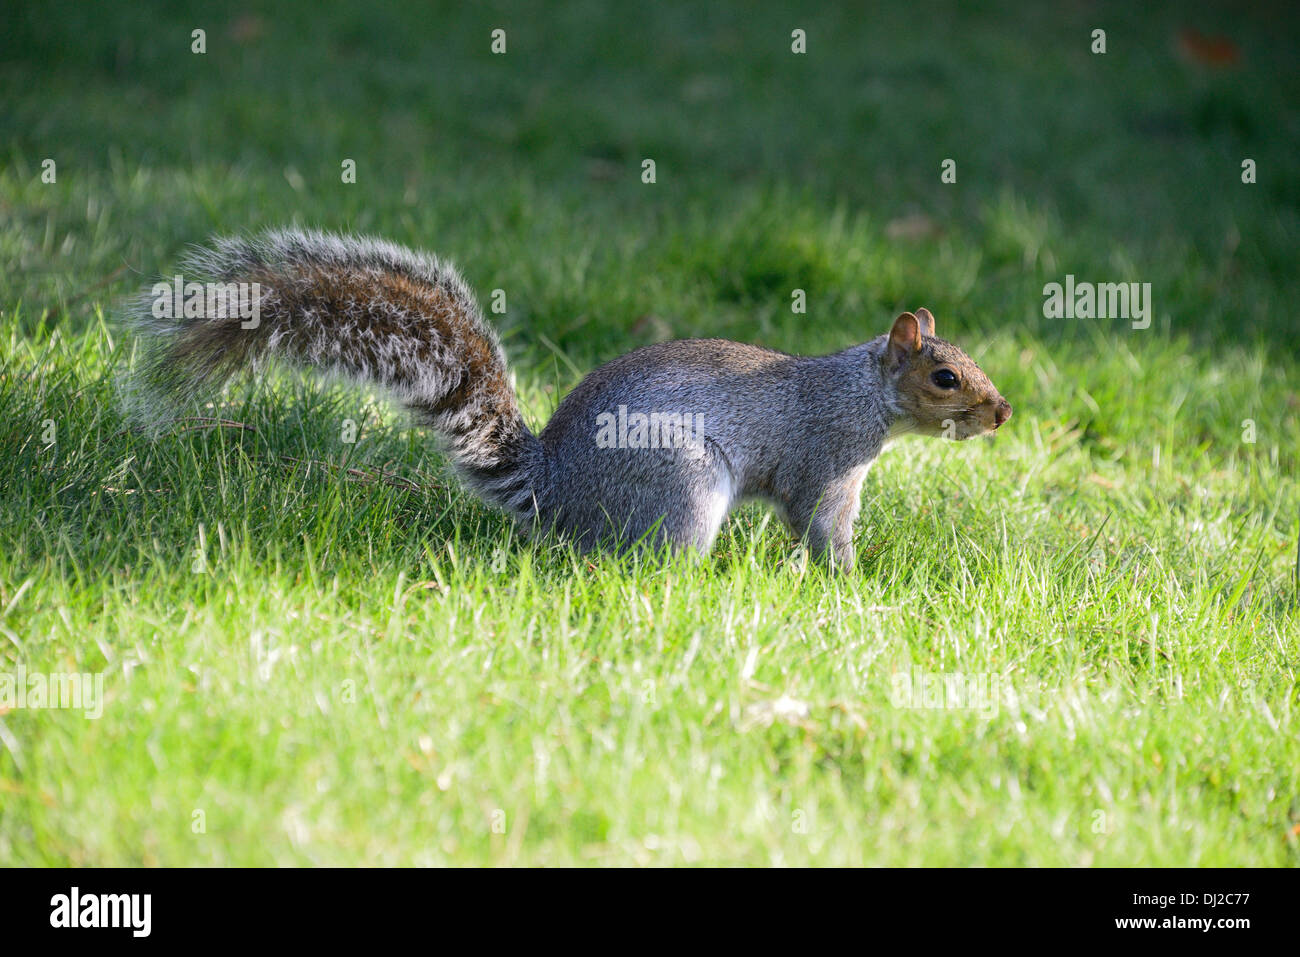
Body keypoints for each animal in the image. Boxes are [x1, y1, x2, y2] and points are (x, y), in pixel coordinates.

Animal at [125, 228, 1011, 569]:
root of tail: (554, 490)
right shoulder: (822, 461)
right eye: (945, 377)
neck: (862, 392)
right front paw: (841, 580)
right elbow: (815, 525)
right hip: (680, 484)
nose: (1002, 412)